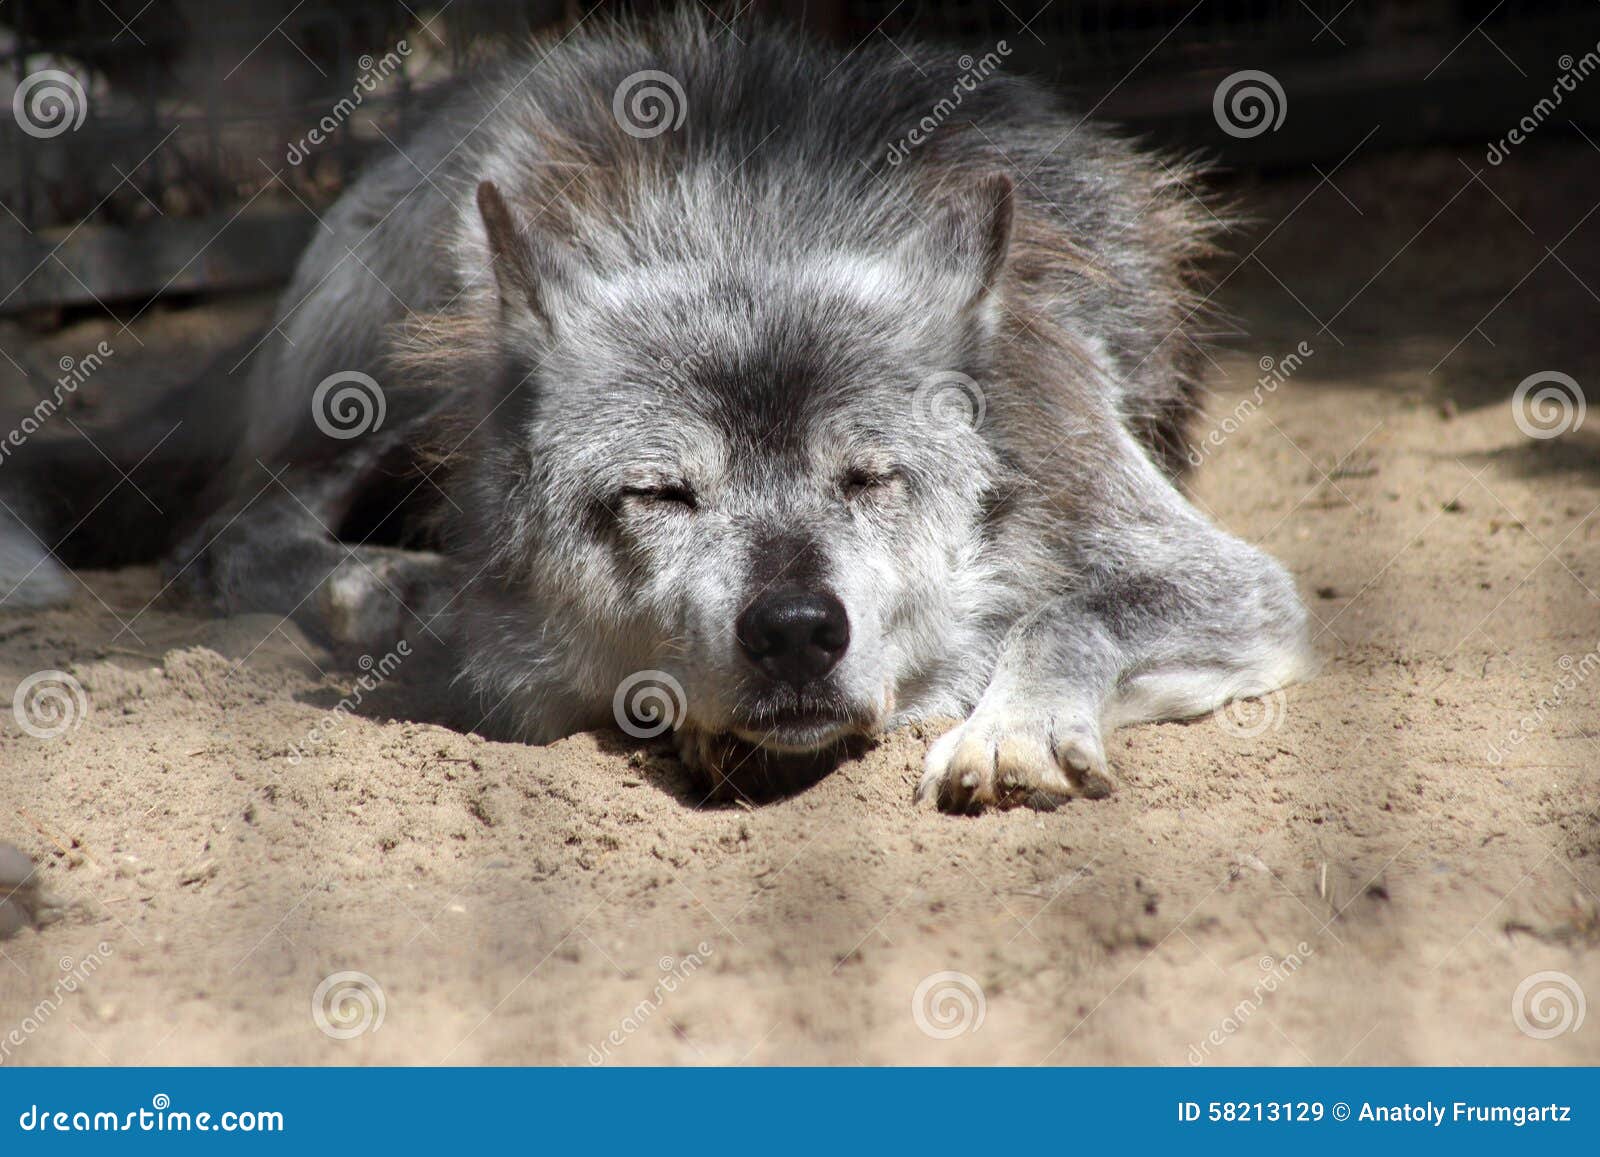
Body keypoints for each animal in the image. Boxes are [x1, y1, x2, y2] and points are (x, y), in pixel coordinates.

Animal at [1, 12, 1312, 811]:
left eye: (868, 479)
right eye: (662, 493)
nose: (797, 627)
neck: (753, 221)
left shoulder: (1224, 577)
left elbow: (1066, 613)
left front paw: (1007, 722)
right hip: (399, 328)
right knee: (226, 533)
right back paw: (381, 588)